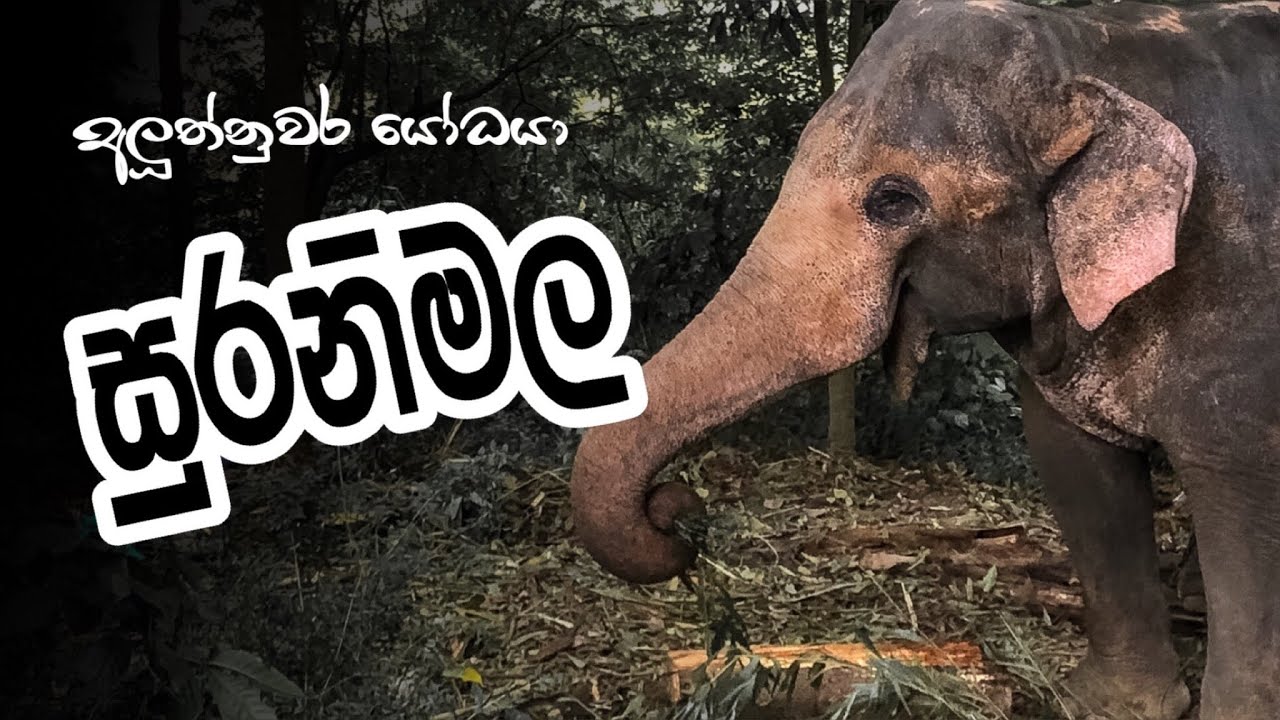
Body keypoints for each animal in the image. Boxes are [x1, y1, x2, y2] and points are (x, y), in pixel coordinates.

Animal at [568, 1, 1279, 719]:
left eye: (893, 200)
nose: (675, 509)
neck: (1090, 45)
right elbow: (1077, 465)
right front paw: (1108, 705)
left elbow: (1245, 496)